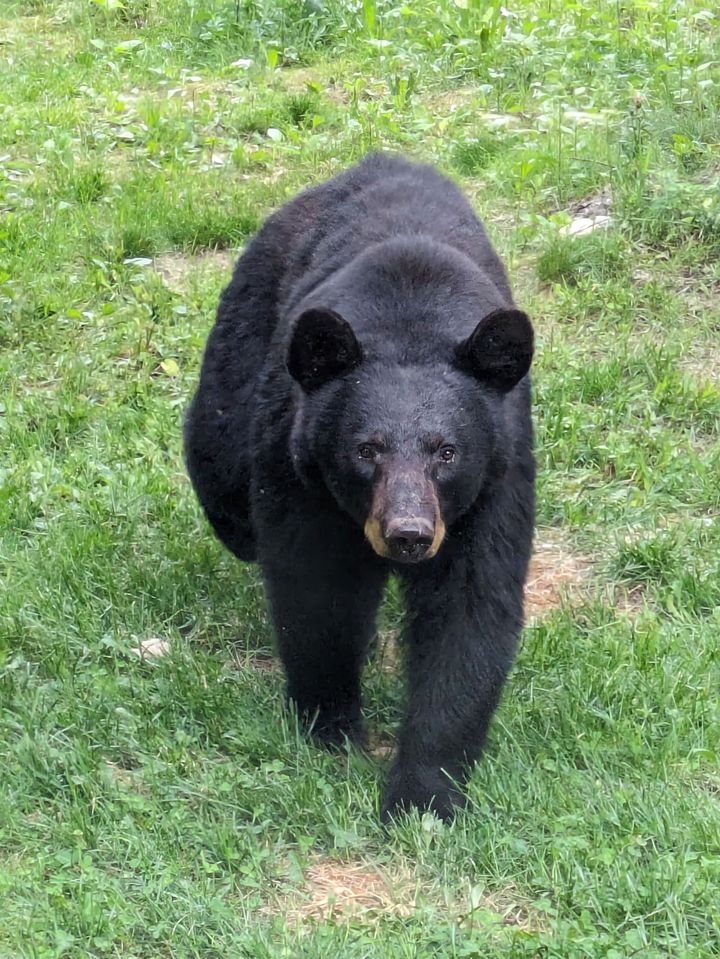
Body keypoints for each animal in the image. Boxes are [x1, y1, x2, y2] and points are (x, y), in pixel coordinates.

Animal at [184, 153, 535, 822]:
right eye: (365, 450)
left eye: (446, 452)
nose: (409, 535)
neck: (412, 325)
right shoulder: (300, 473)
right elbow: (317, 590)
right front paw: (331, 726)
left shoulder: (493, 484)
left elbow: (470, 608)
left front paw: (422, 796)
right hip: (242, 347)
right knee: (218, 464)